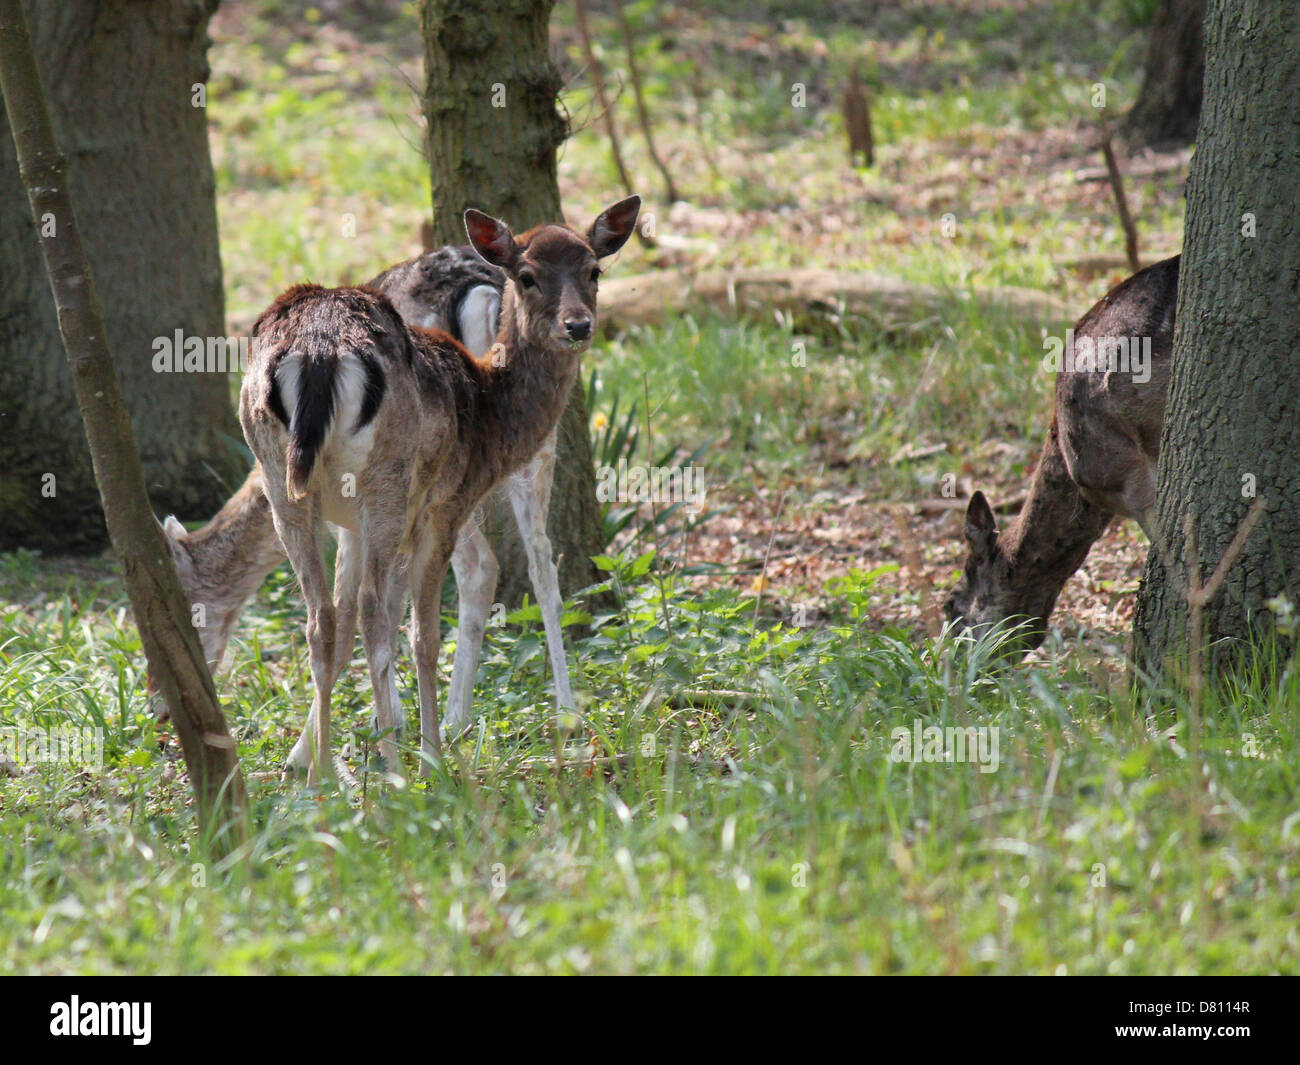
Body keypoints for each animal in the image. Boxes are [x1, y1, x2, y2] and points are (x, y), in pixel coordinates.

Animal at [161, 239, 583, 771]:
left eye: (184, 610)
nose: (157, 705)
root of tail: (484, 288)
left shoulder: (359, 518)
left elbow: (353, 612)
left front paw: (329, 747)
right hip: (527, 449)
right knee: (539, 563)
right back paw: (550, 713)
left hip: (418, 477)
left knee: (475, 567)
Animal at [235, 196, 640, 780]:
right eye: (526, 276)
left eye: (594, 270)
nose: (578, 325)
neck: (490, 407)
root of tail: (318, 353)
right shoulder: (442, 508)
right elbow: (422, 633)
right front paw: (429, 755)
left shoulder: (364, 523)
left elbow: (359, 620)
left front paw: (332, 751)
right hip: (384, 482)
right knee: (380, 612)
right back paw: (400, 768)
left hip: (280, 482)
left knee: (321, 620)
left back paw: (324, 780)